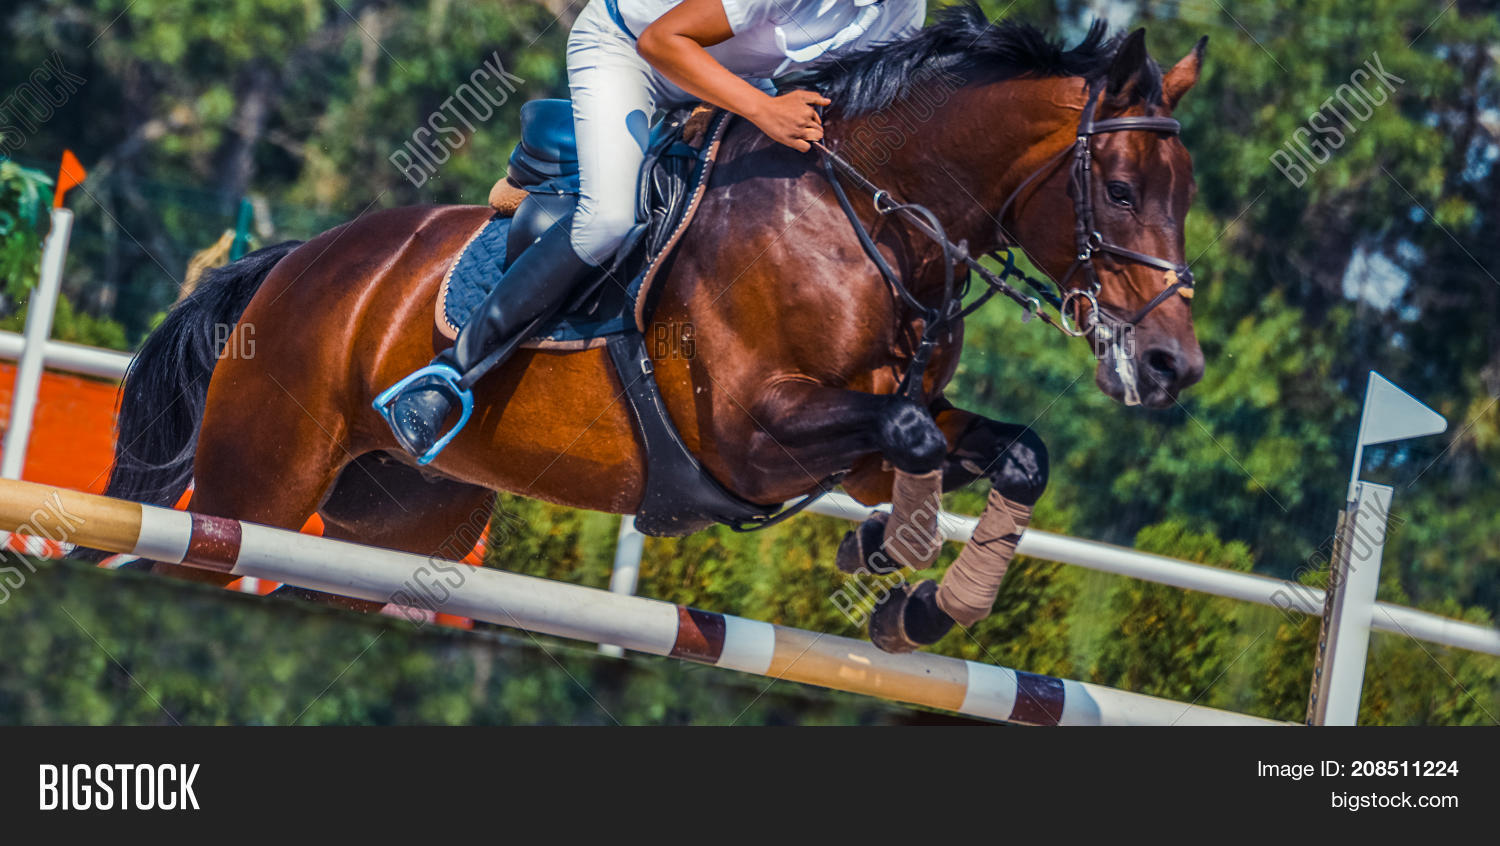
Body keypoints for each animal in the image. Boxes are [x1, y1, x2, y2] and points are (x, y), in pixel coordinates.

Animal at [103, 6, 1206, 651]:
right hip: (260, 486)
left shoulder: (847, 444)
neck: (870, 219)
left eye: (1186, 193)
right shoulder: (750, 431)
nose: (1170, 365)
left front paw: (926, 600)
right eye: (1118, 188)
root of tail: (293, 263)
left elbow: (1009, 452)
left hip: (402, 517)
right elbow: (912, 437)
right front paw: (888, 557)